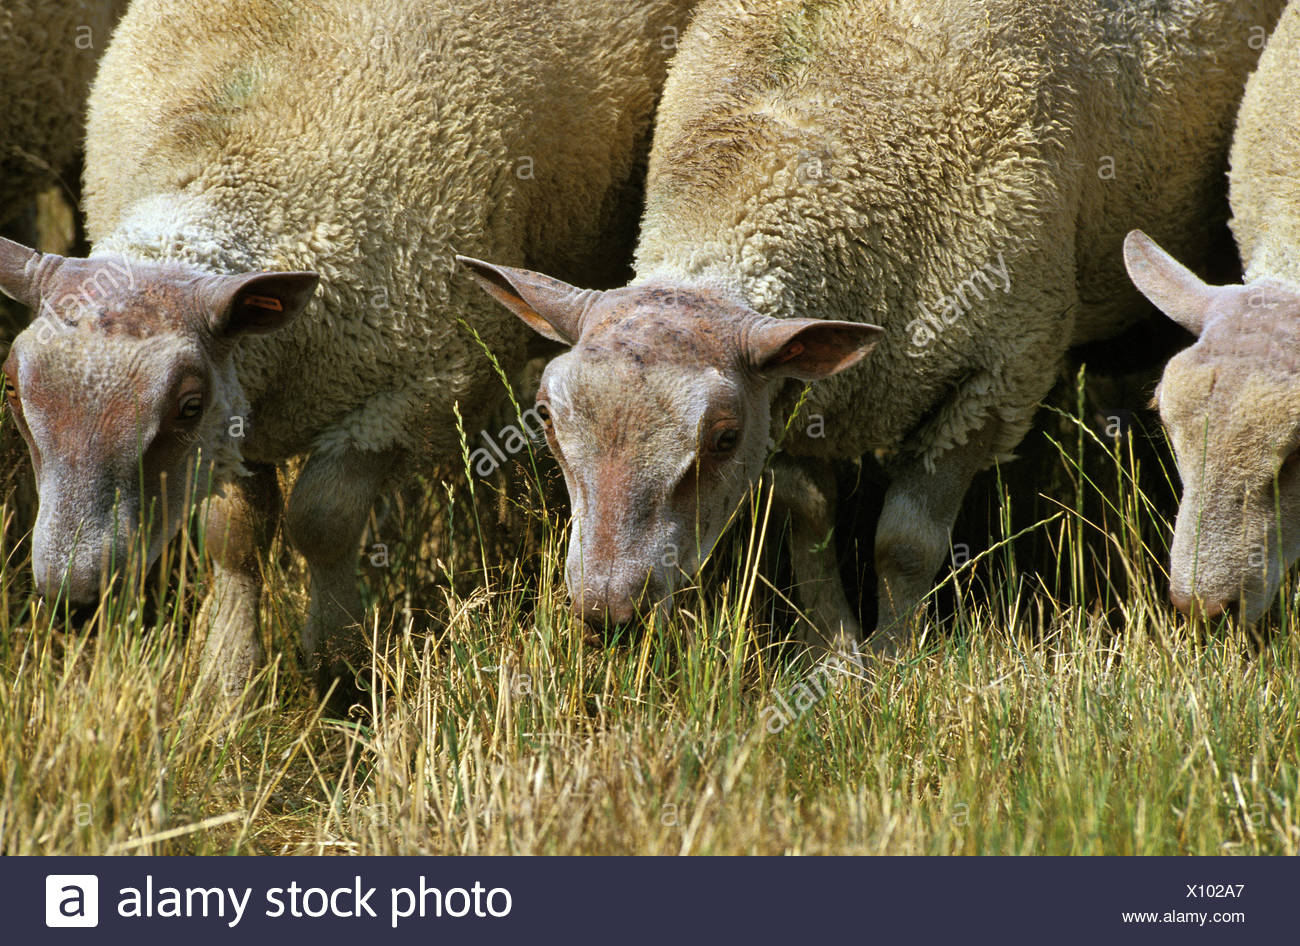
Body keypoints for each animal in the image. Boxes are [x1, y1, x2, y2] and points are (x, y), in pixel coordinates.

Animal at [0, 0, 697, 706]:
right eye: (12, 392)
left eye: (186, 405)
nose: (72, 598)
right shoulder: (239, 413)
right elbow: (233, 538)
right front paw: (230, 679)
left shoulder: (408, 392)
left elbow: (322, 521)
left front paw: (339, 669)